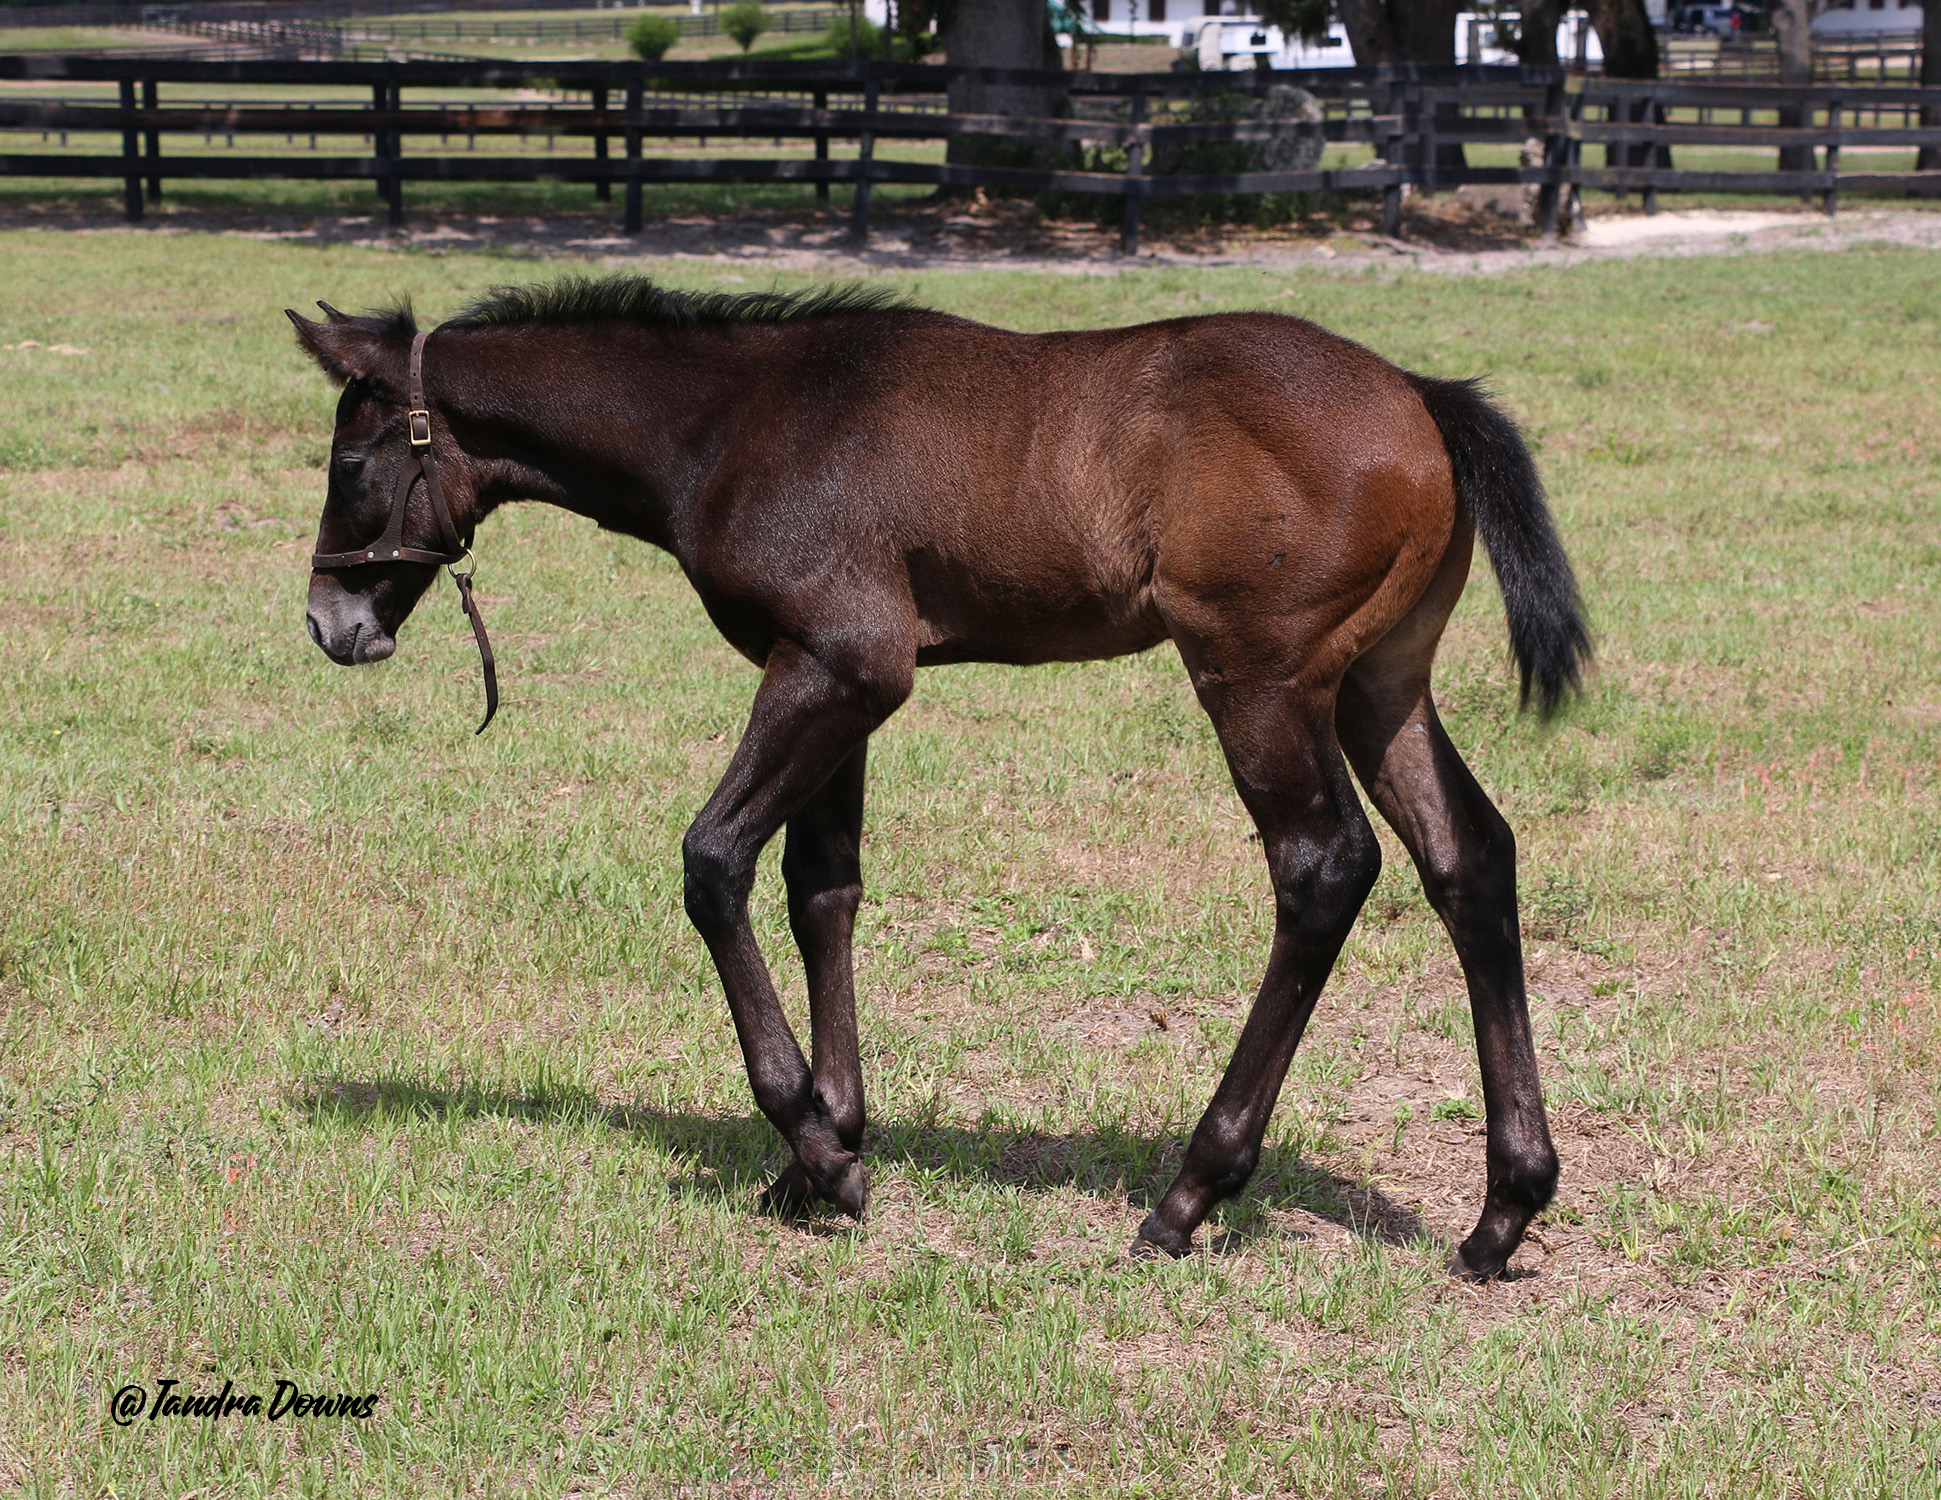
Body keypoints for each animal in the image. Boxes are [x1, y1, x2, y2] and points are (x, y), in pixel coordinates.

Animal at [291, 275, 1589, 1278]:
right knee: (1471, 856)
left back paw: (1188, 1197)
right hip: (1380, 684)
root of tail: (1421, 395)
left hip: (1259, 681)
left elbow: (715, 863)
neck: (734, 423)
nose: (329, 622)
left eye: (351, 458)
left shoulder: (842, 664)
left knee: (1323, 868)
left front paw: (820, 1152)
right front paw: (823, 1151)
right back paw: (1502, 1211)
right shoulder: (829, 675)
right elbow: (823, 889)